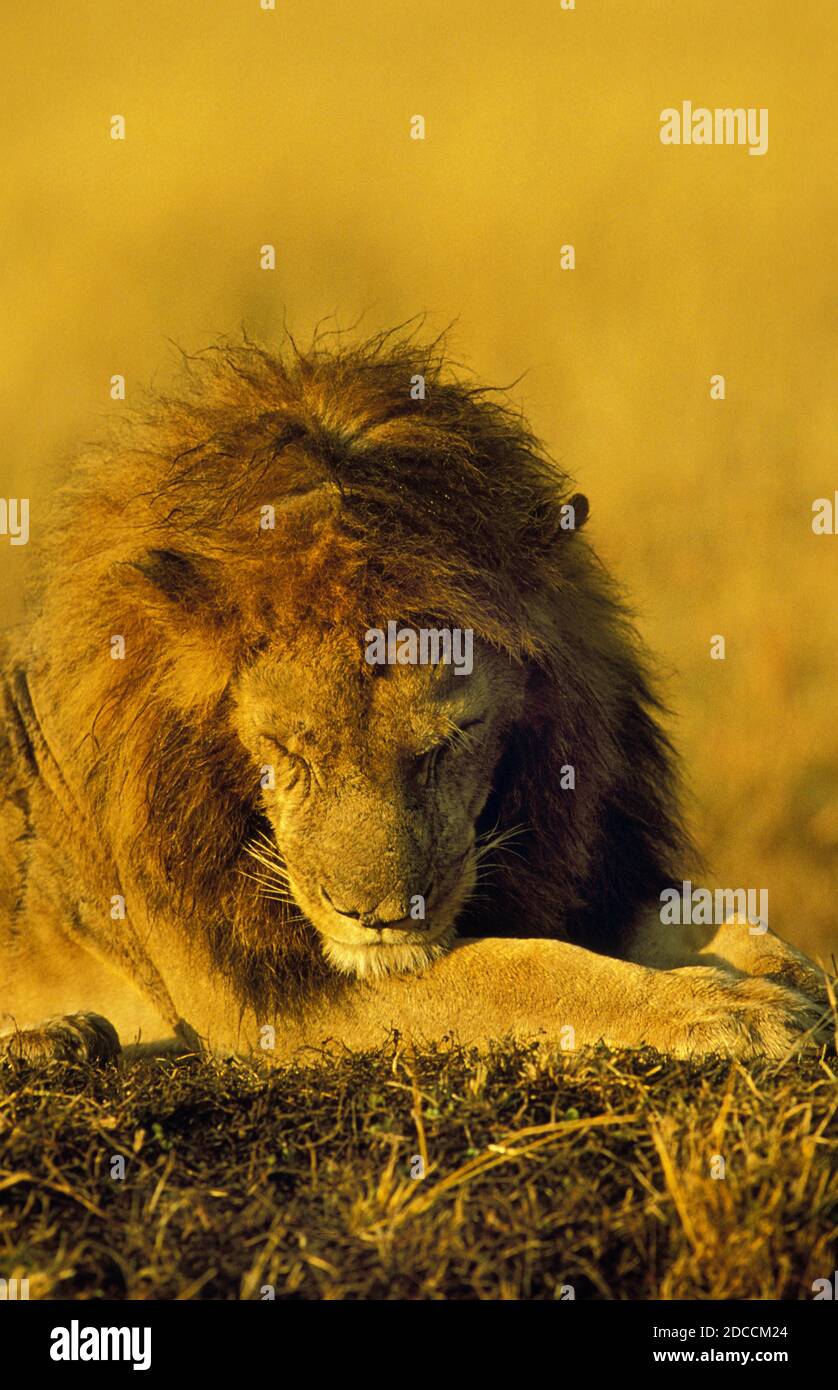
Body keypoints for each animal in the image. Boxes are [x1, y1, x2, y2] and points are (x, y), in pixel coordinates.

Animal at [0, 330, 831, 1064]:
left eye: (448, 744)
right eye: (289, 751)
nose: (381, 920)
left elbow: (697, 915)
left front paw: (783, 967)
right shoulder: (271, 999)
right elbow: (524, 973)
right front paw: (725, 1006)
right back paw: (55, 1038)